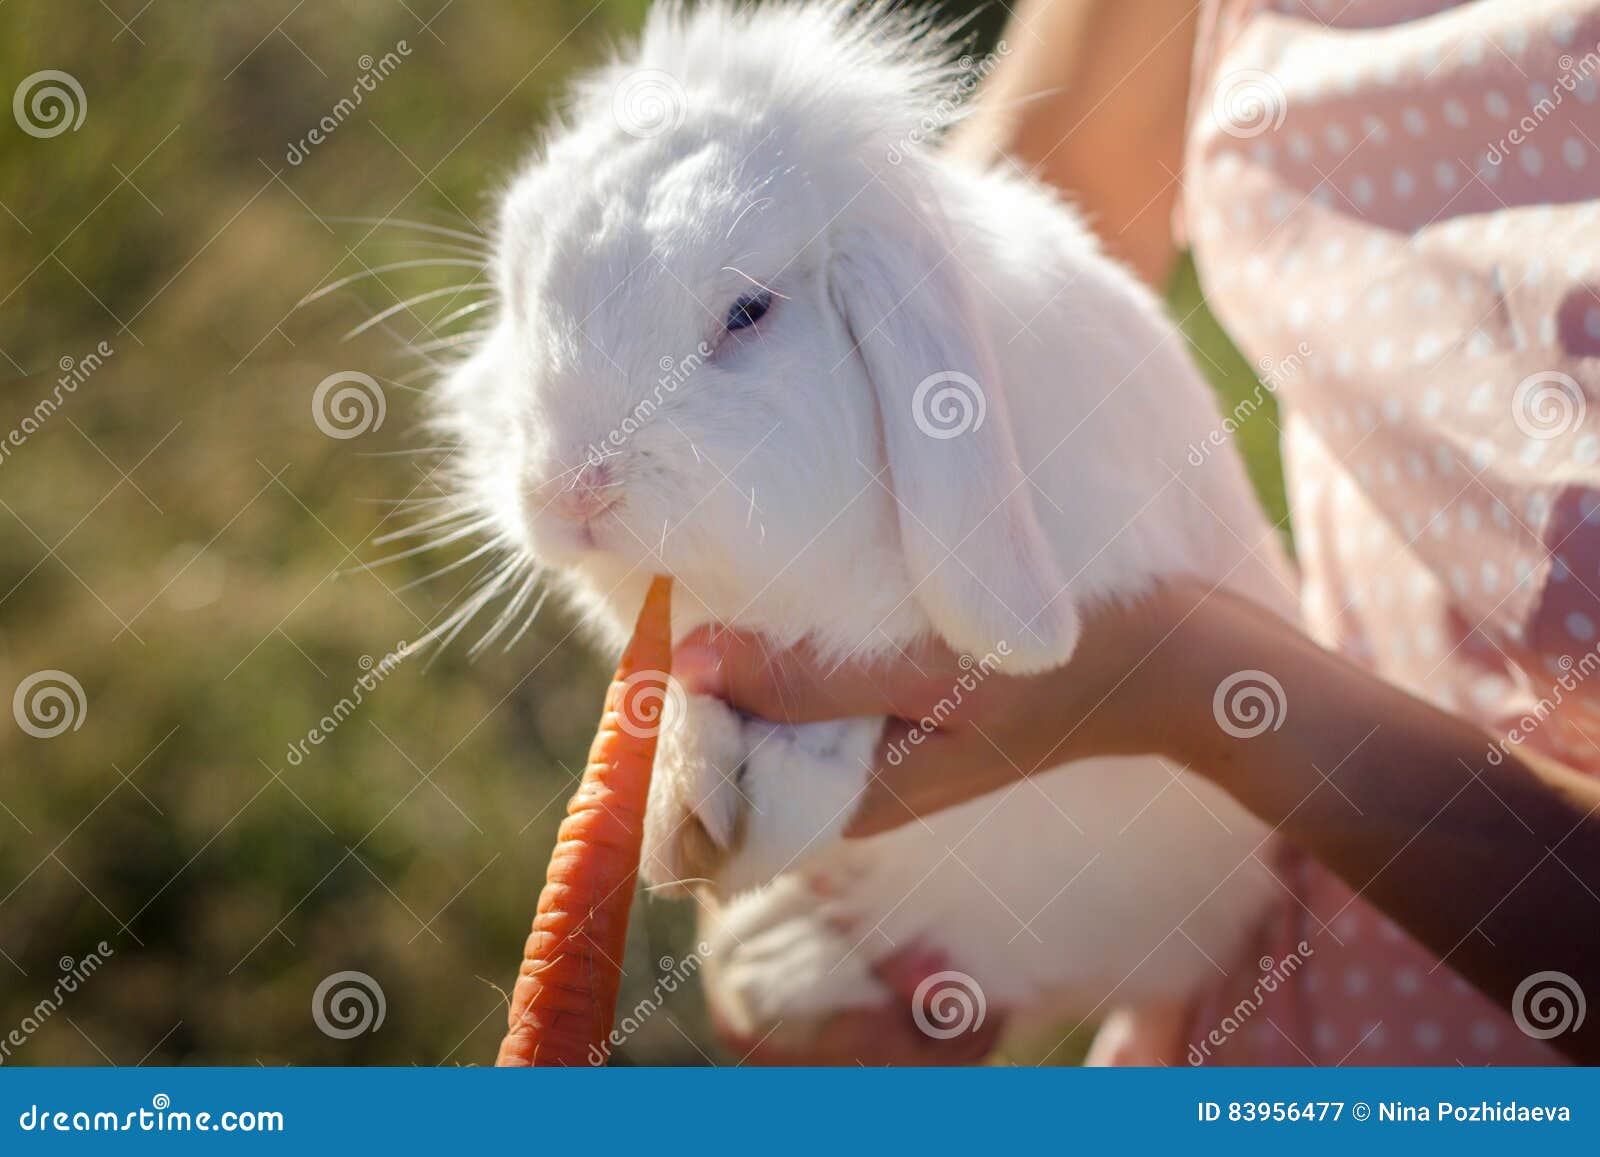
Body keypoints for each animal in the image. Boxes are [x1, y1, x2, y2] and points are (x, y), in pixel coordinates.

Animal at [432, 0, 1299, 1055]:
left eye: (749, 311)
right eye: (523, 291)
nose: (570, 492)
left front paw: (729, 822)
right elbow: (679, 693)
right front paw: (684, 792)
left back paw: (784, 960)